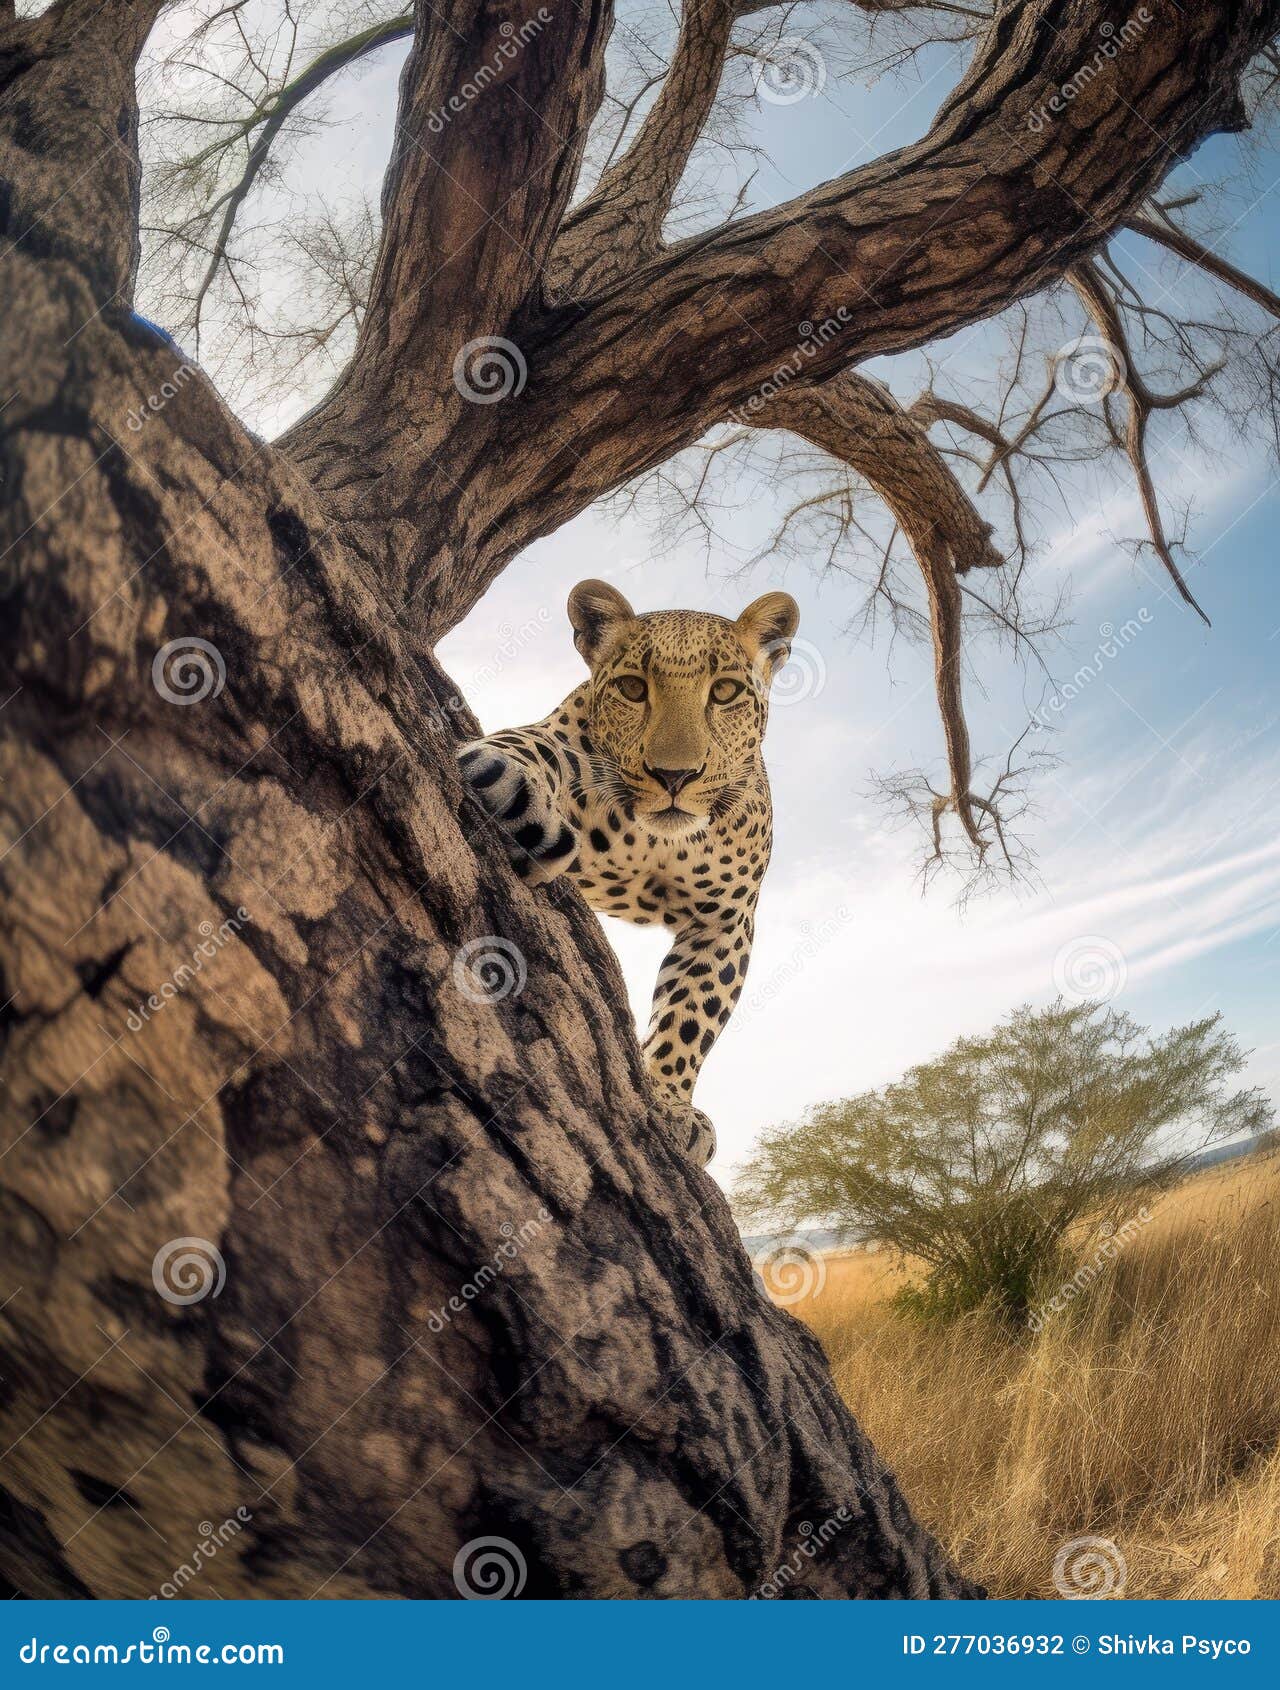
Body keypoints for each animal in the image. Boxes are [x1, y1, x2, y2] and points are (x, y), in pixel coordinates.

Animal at [456, 579, 800, 1168]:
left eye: (725, 691)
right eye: (634, 689)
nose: (674, 776)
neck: (657, 841)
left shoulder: (725, 921)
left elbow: (691, 1015)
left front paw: (670, 1105)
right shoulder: (568, 737)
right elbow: (532, 746)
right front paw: (515, 786)